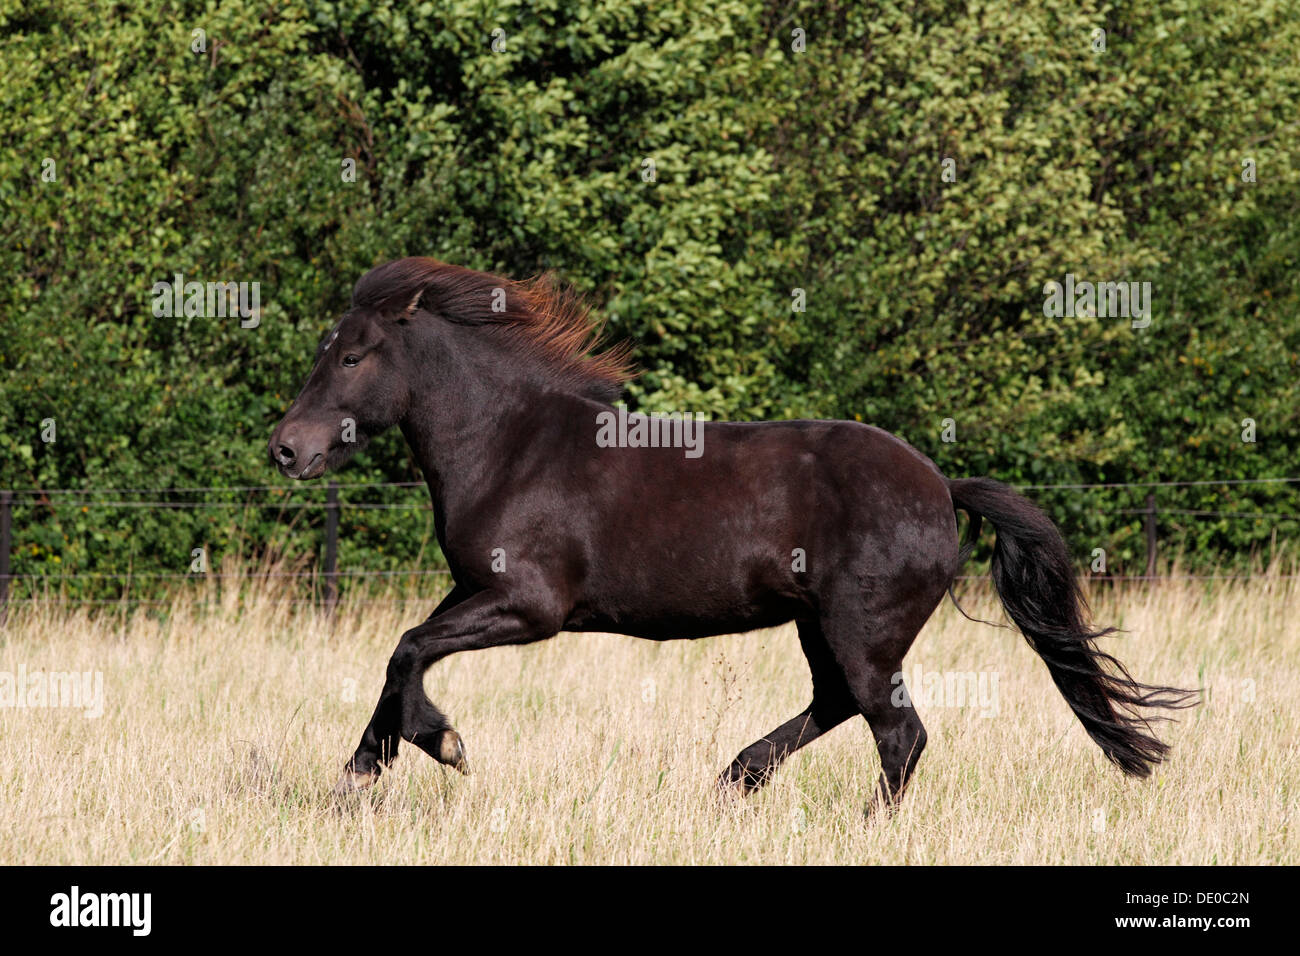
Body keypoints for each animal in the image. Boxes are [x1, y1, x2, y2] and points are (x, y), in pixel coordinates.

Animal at [267, 257, 1196, 813]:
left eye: (351, 357)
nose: (286, 449)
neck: (509, 443)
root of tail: (941, 486)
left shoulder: (528, 605)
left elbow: (410, 650)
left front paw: (443, 746)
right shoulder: (474, 588)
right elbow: (403, 652)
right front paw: (364, 769)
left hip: (860, 628)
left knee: (898, 732)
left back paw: (858, 822)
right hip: (822, 626)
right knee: (839, 706)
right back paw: (734, 779)